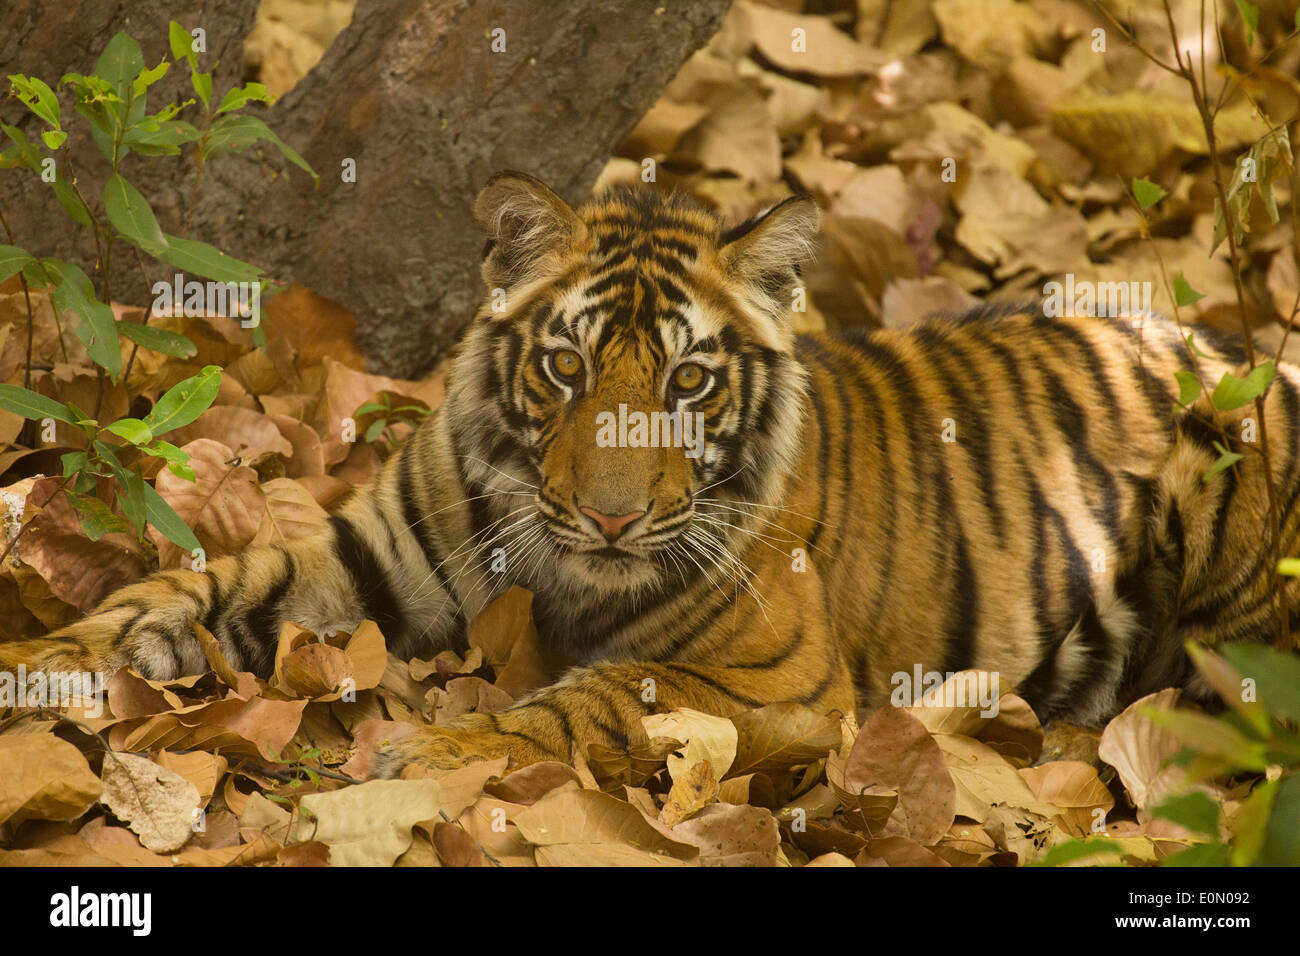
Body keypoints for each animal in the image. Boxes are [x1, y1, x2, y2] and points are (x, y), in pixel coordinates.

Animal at [3, 171, 1298, 777]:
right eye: (566, 365)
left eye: (687, 381)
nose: (610, 519)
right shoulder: (371, 553)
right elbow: (192, 583)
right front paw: (47, 659)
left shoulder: (775, 677)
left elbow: (592, 697)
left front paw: (439, 754)